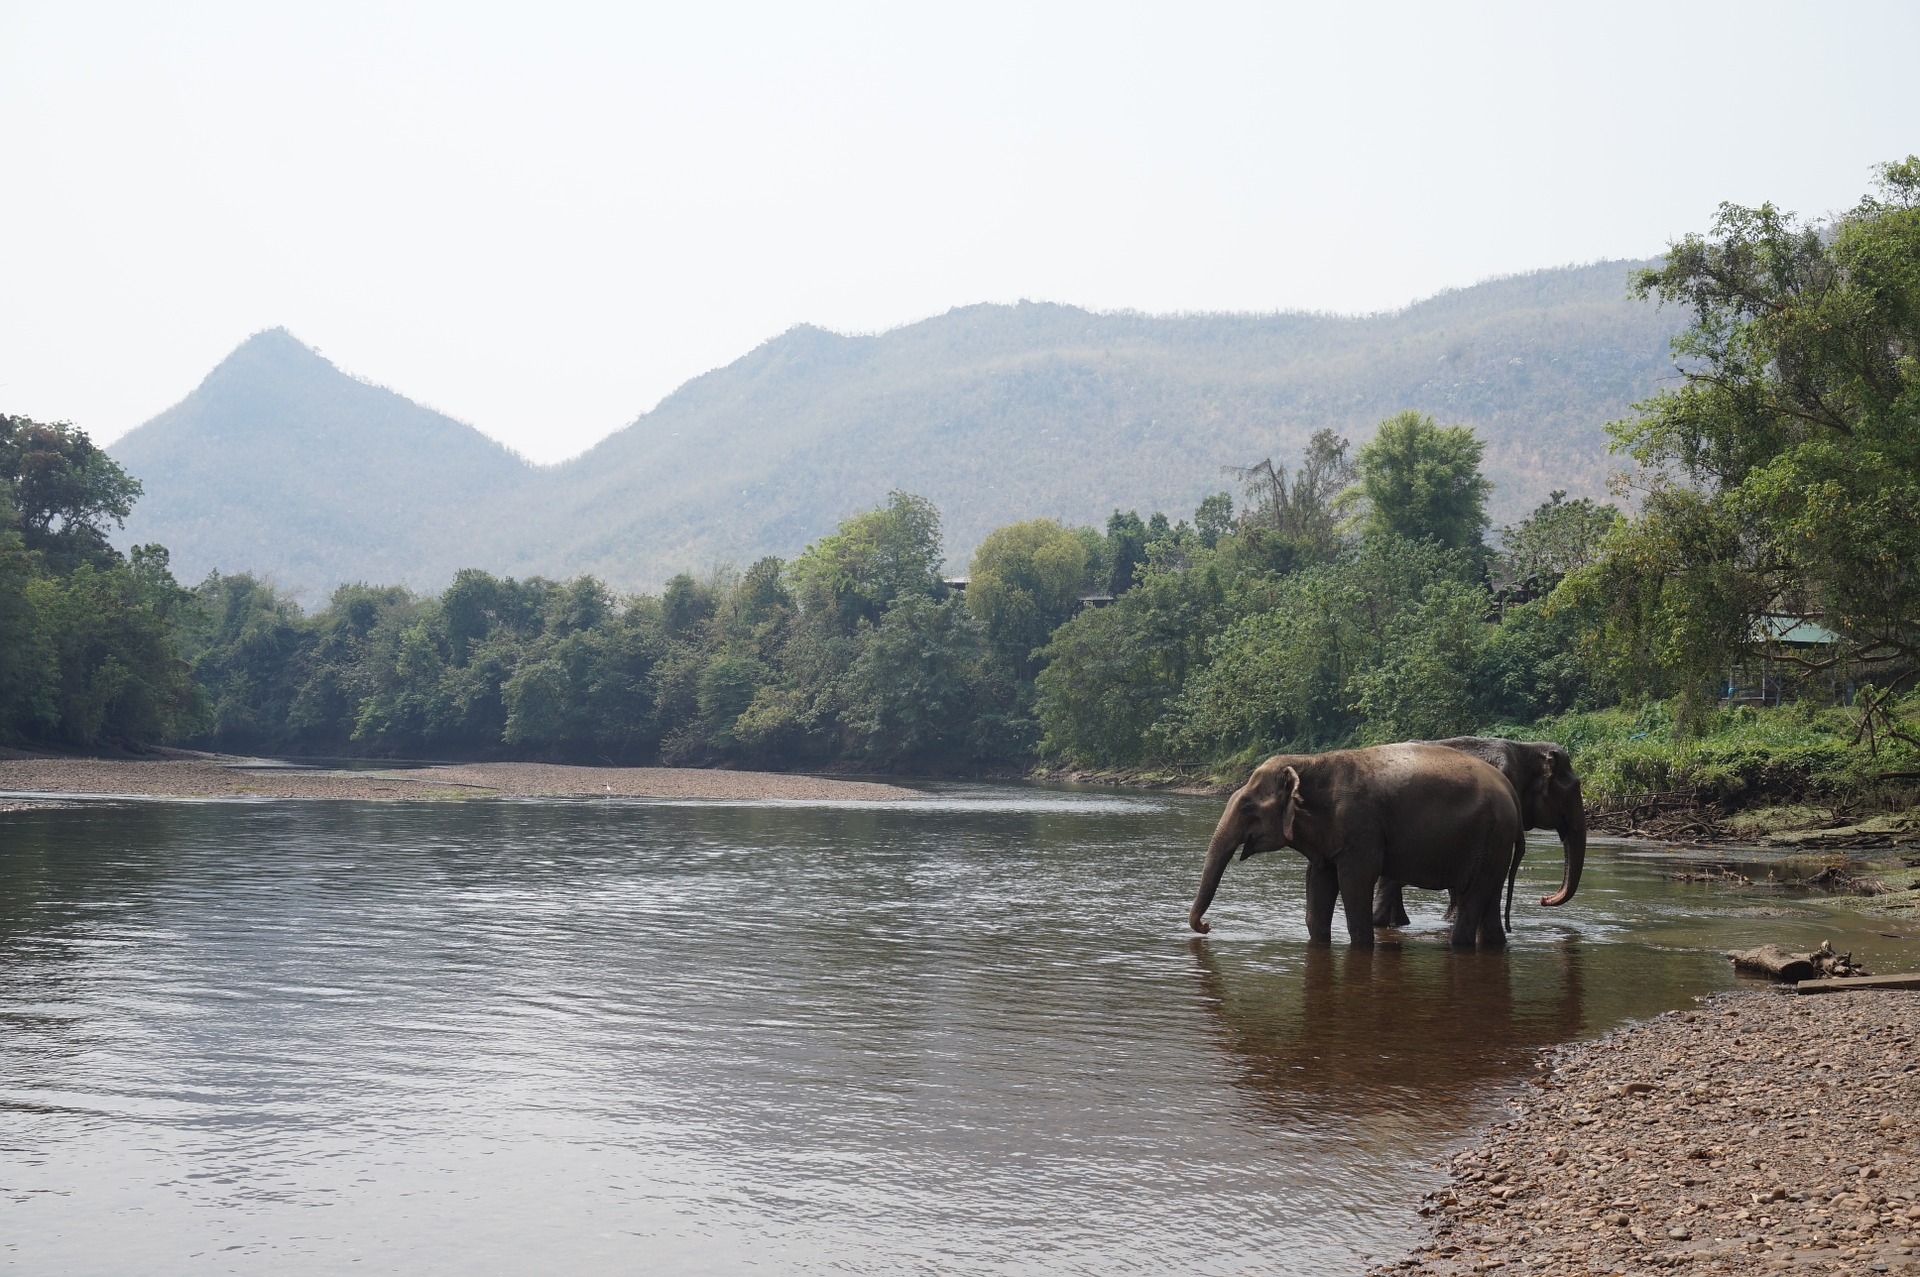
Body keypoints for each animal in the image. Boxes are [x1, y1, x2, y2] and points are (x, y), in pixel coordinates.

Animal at [1188, 743, 1524, 949]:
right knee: (1490, 896)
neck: (1310, 761)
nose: (1207, 926)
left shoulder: (1361, 826)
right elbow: (1318, 884)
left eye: (1247, 807)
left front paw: (1362, 945)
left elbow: (1355, 881)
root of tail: (1512, 794)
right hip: (1494, 845)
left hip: (1489, 838)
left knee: (1473, 894)